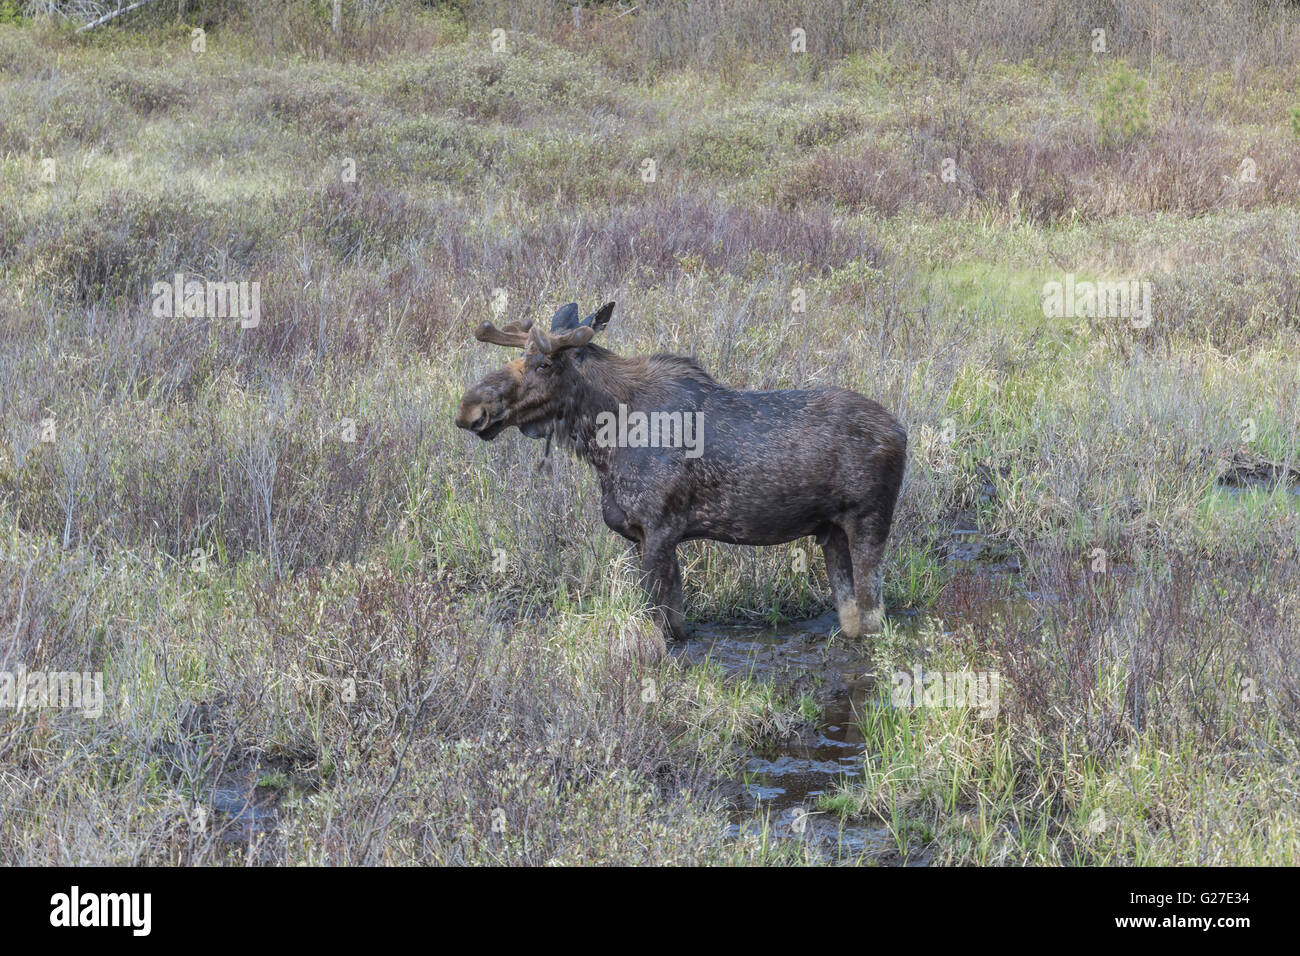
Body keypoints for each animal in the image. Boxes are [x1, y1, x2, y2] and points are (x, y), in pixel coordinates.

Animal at [455, 302, 907, 643]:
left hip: (868, 520)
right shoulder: (649, 536)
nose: (471, 408)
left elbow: (660, 626)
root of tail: (902, 433)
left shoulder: (658, 529)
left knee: (873, 616)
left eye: (544, 363)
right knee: (853, 618)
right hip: (830, 531)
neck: (603, 444)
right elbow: (676, 624)